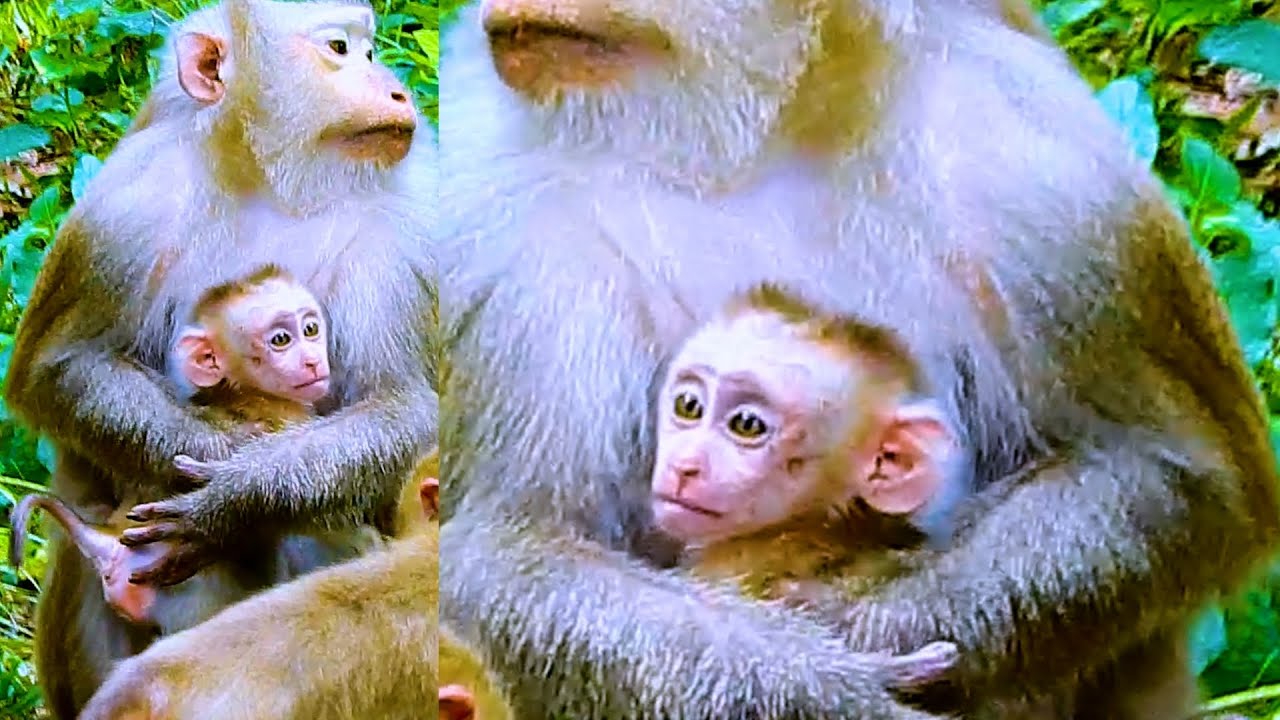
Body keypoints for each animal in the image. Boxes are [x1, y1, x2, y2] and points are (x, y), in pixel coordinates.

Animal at [1, 0, 437, 713]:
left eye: (370, 50)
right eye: (341, 49)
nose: (397, 90)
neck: (265, 180)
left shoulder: (397, 232)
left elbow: (402, 406)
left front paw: (233, 498)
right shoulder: (122, 206)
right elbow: (60, 367)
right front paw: (209, 452)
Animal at [431, 0, 1280, 716]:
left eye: (747, 425)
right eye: (690, 408)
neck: (759, 134)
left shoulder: (1050, 172)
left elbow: (1174, 473)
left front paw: (864, 617)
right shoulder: (519, 211)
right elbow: (518, 554)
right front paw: (824, 686)